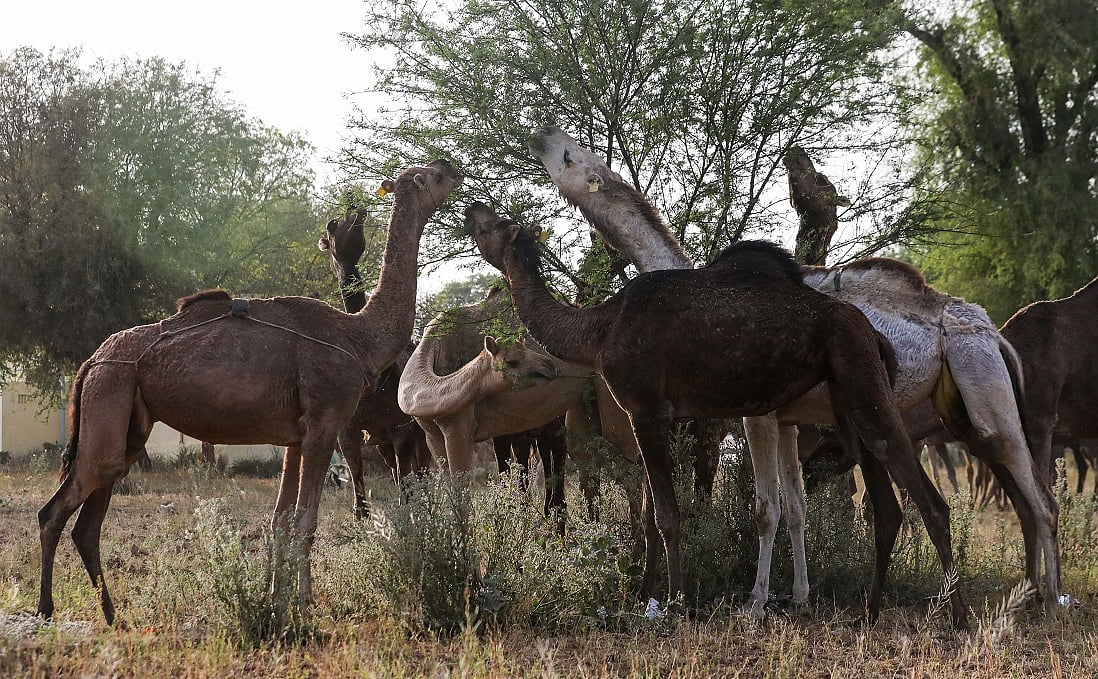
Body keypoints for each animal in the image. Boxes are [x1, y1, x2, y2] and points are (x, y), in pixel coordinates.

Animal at [37, 160, 463, 624]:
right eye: (432, 176)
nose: (454, 168)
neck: (359, 336)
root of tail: (90, 362)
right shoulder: (325, 422)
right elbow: (306, 520)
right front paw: (305, 606)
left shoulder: (295, 435)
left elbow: (281, 520)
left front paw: (277, 602)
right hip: (108, 396)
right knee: (53, 512)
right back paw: (46, 611)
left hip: (125, 422)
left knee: (89, 519)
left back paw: (114, 616)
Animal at [466, 201, 967, 626]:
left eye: (495, 226)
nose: (472, 209)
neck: (598, 328)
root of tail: (872, 333)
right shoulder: (659, 416)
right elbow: (650, 515)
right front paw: (646, 597)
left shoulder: (646, 409)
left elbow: (666, 515)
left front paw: (674, 603)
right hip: (850, 398)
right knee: (887, 507)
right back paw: (869, 612)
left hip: (861, 381)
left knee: (931, 503)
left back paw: (957, 618)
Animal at [529, 125, 1059, 621]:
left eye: (570, 156)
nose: (541, 134)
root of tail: (992, 333)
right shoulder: (785, 419)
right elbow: (797, 507)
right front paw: (798, 597)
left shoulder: (757, 415)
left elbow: (768, 509)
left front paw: (756, 602)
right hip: (958, 416)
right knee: (1020, 496)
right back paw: (1026, 592)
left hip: (982, 387)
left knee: (1040, 498)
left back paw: (1051, 599)